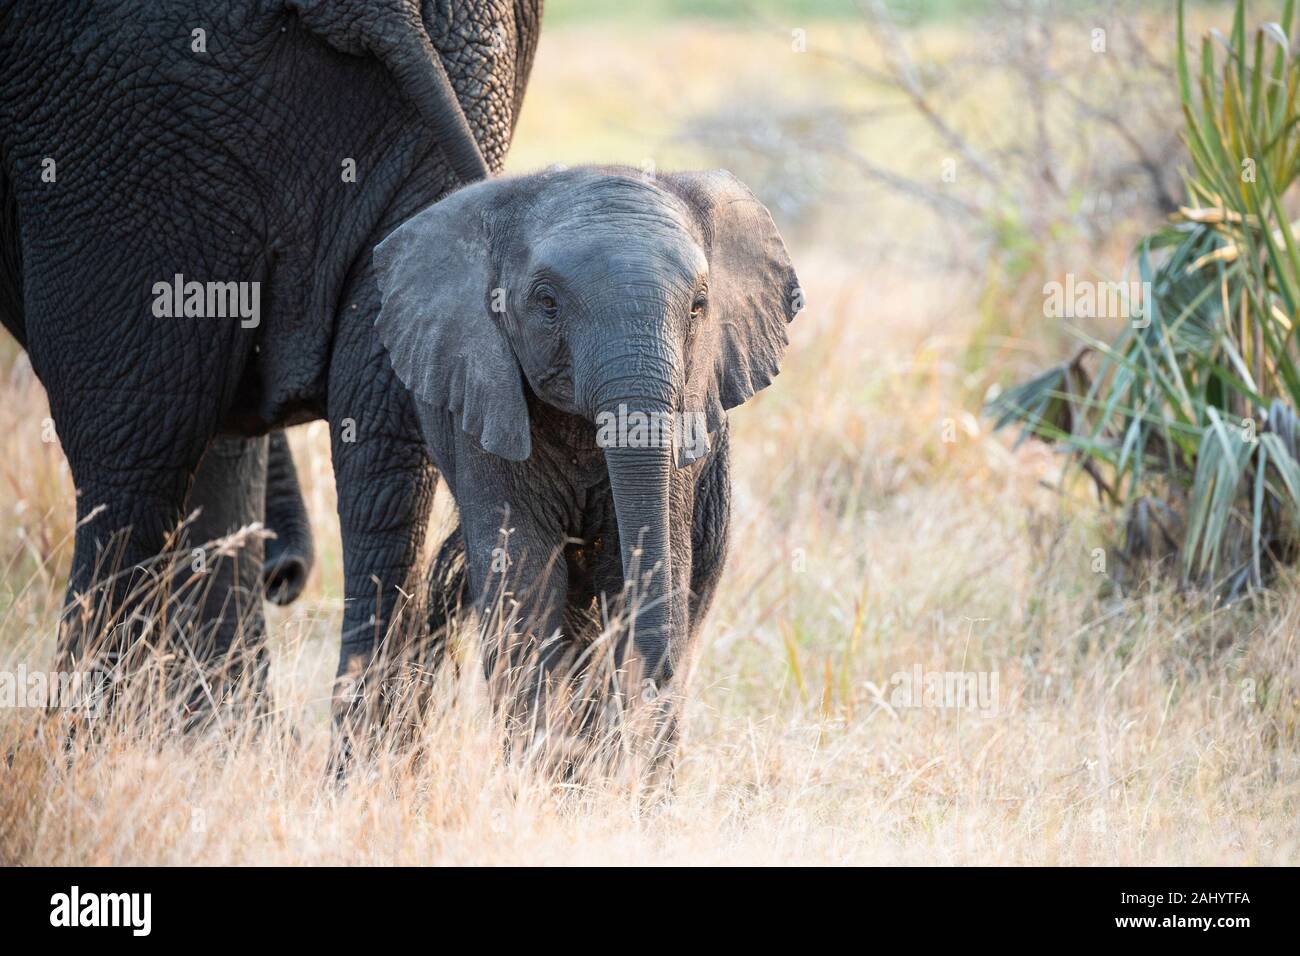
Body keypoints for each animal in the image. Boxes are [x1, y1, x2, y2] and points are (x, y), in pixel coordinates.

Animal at [0, 1, 541, 727]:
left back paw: (81, 743)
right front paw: (215, 731)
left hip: (124, 134)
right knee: (386, 450)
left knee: (128, 459)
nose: (283, 573)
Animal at [373, 165, 800, 747]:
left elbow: (636, 568)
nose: (661, 672)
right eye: (546, 303)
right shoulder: (486, 408)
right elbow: (523, 588)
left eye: (698, 306)